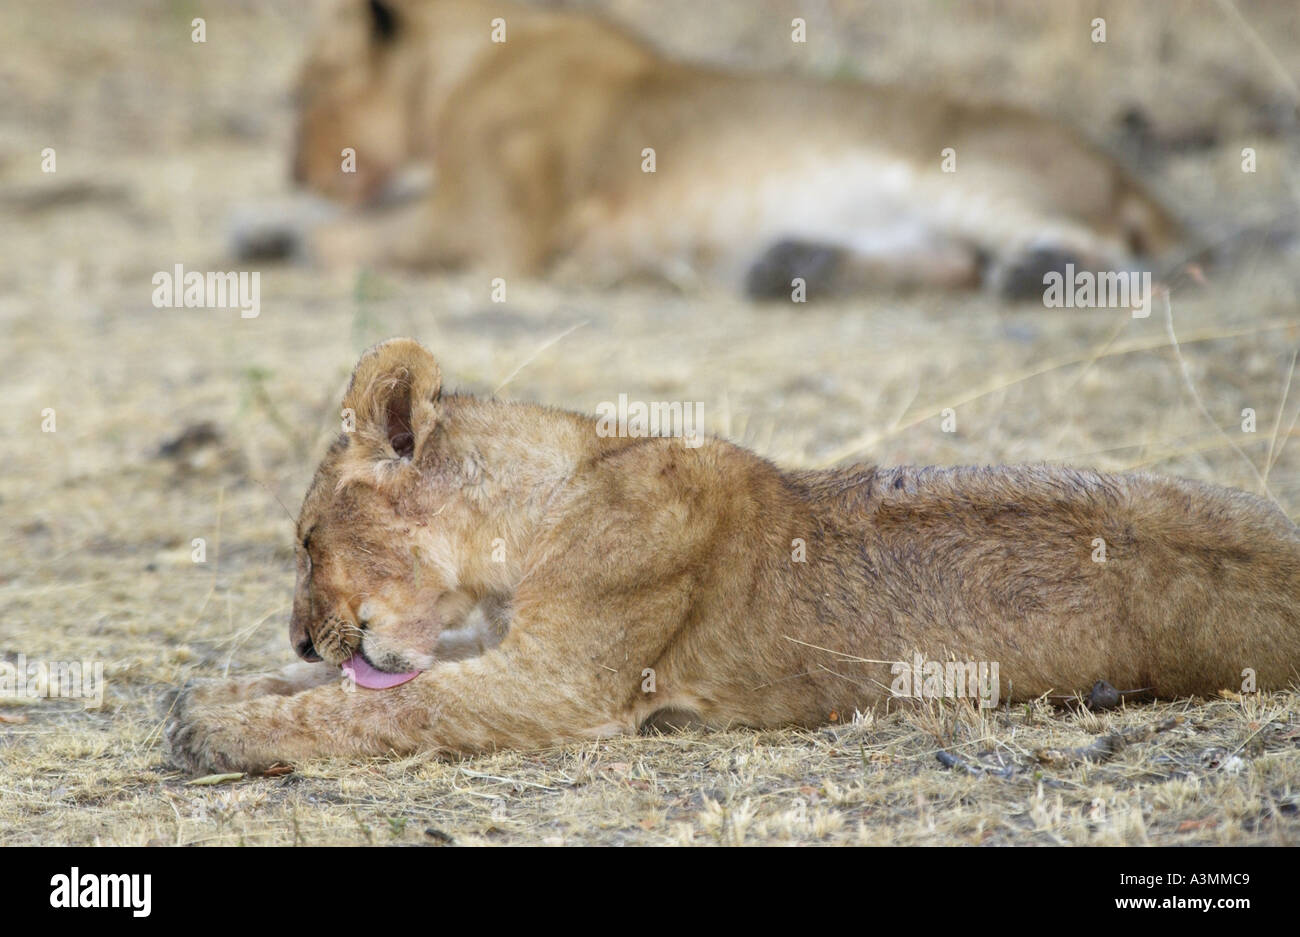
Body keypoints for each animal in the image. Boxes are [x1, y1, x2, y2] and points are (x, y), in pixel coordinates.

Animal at [164, 338, 1300, 774]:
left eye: (306, 539)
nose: (300, 638)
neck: (529, 516)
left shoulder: (562, 685)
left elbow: (387, 708)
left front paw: (214, 727)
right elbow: (363, 692)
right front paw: (211, 693)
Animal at [239, 0, 1185, 297]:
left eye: (305, 88)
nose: (289, 167)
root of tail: (1126, 174)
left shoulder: (493, 229)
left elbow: (353, 236)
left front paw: (293, 240)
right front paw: (257, 230)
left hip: (963, 174)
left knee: (1118, 256)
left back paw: (1039, 273)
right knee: (953, 262)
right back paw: (790, 265)